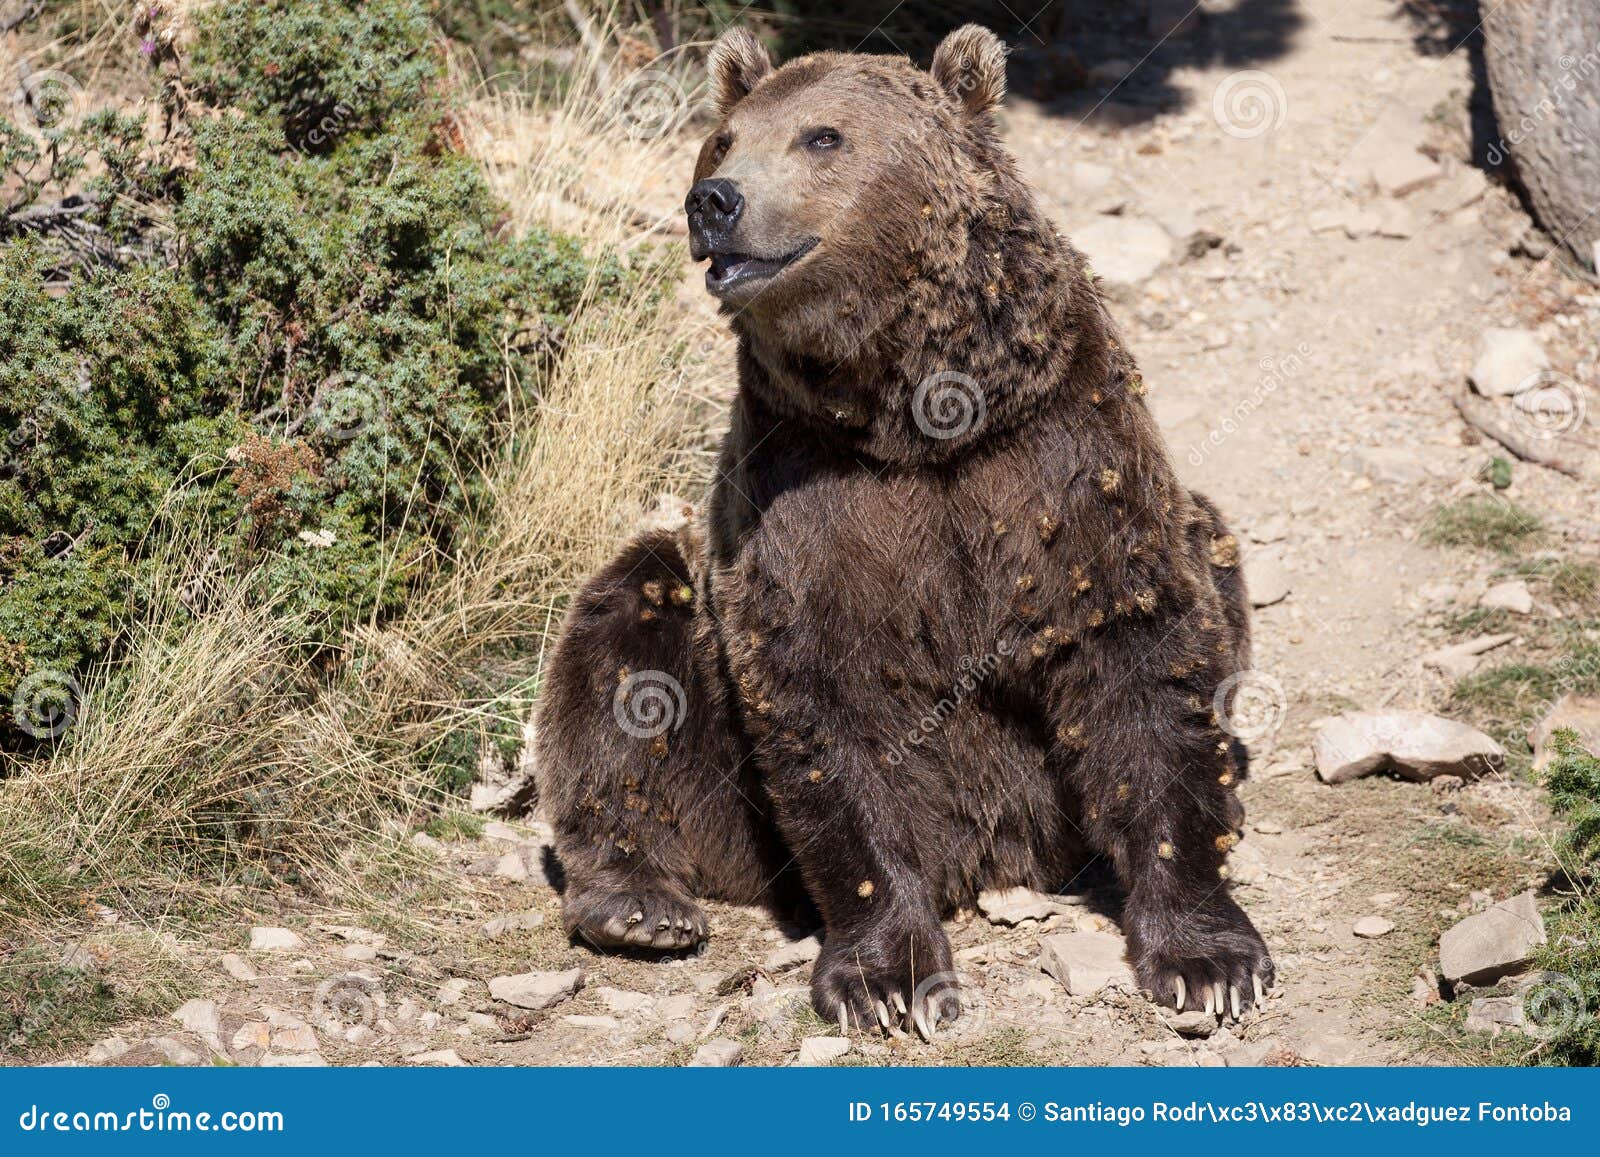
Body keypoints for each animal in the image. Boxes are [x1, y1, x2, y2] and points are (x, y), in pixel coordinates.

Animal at [533, 24, 1274, 1037]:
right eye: (723, 139)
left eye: (822, 136)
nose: (713, 202)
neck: (911, 415)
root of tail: (996, 859)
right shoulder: (801, 492)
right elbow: (820, 700)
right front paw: (889, 976)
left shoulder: (1062, 454)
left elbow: (1141, 652)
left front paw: (1208, 957)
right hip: (722, 784)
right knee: (626, 639)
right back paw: (637, 901)